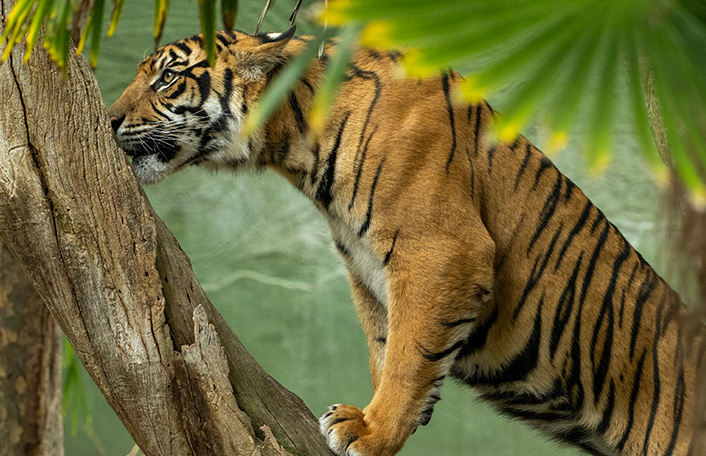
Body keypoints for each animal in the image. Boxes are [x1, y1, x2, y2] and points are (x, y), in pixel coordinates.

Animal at [107, 27, 706, 456]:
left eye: (167, 79)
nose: (109, 119)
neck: (298, 147)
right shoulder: (366, 266)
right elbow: (386, 345)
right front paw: (379, 420)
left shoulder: (440, 251)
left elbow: (407, 353)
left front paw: (371, 432)